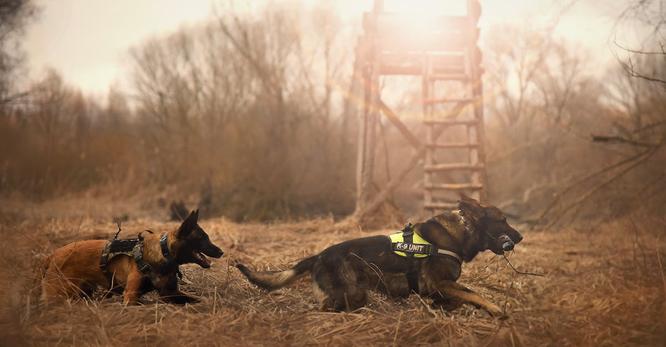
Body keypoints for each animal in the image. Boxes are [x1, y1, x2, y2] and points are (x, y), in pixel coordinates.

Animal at [41, 209, 223, 304]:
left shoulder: (170, 293)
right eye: (203, 238)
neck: (163, 253)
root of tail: (52, 255)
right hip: (60, 294)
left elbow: (198, 299)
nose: (221, 252)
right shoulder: (131, 296)